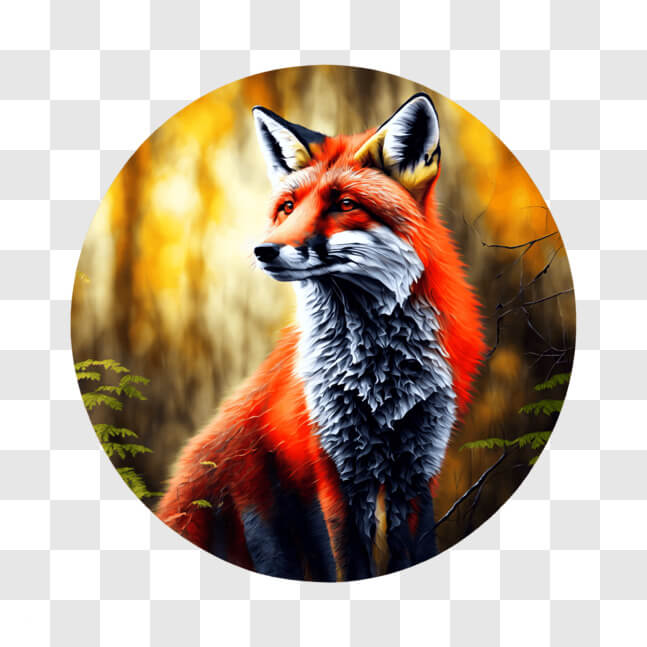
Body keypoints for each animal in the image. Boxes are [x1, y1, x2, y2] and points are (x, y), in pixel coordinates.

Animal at [156, 93, 485, 581]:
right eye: (288, 207)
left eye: (344, 204)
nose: (264, 250)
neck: (378, 376)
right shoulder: (335, 469)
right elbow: (351, 565)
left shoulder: (418, 466)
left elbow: (417, 549)